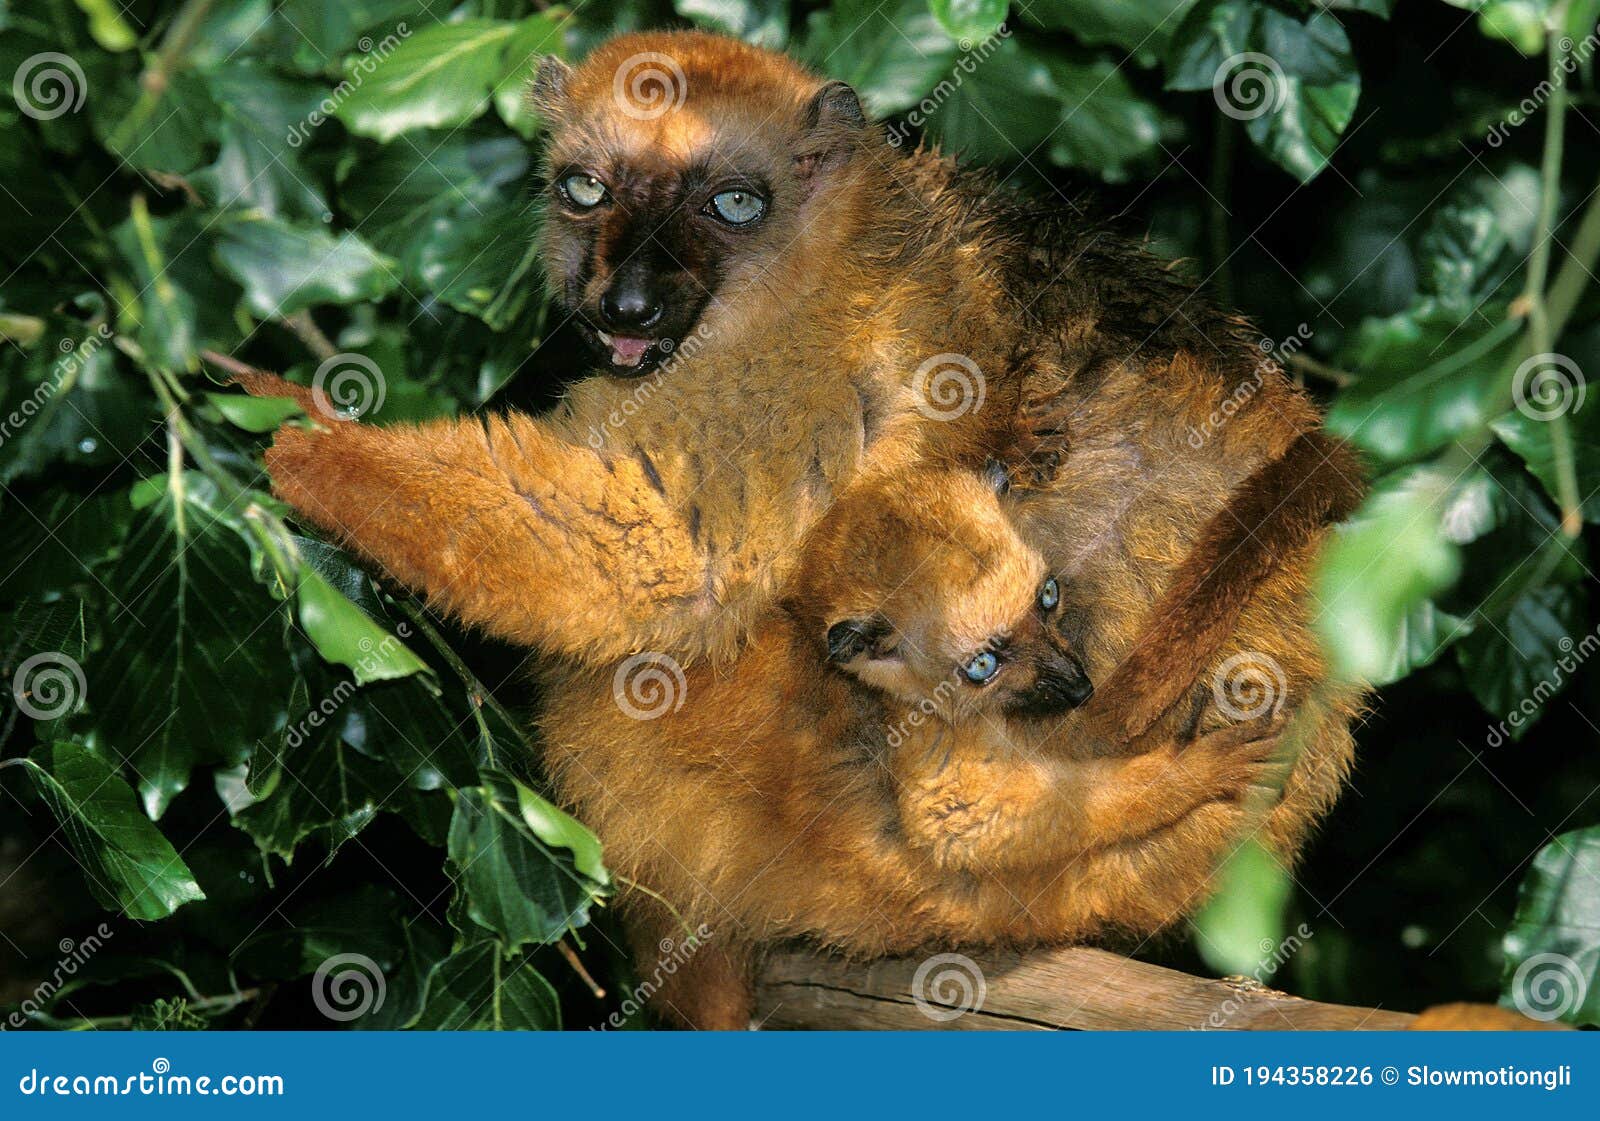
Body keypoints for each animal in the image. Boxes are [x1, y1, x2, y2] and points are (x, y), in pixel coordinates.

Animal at [229, 30, 1368, 1027]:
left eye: (732, 203)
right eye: (586, 189)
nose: (628, 304)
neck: (836, 232)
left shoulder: (796, 360)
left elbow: (662, 569)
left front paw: (303, 442)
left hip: (837, 835)